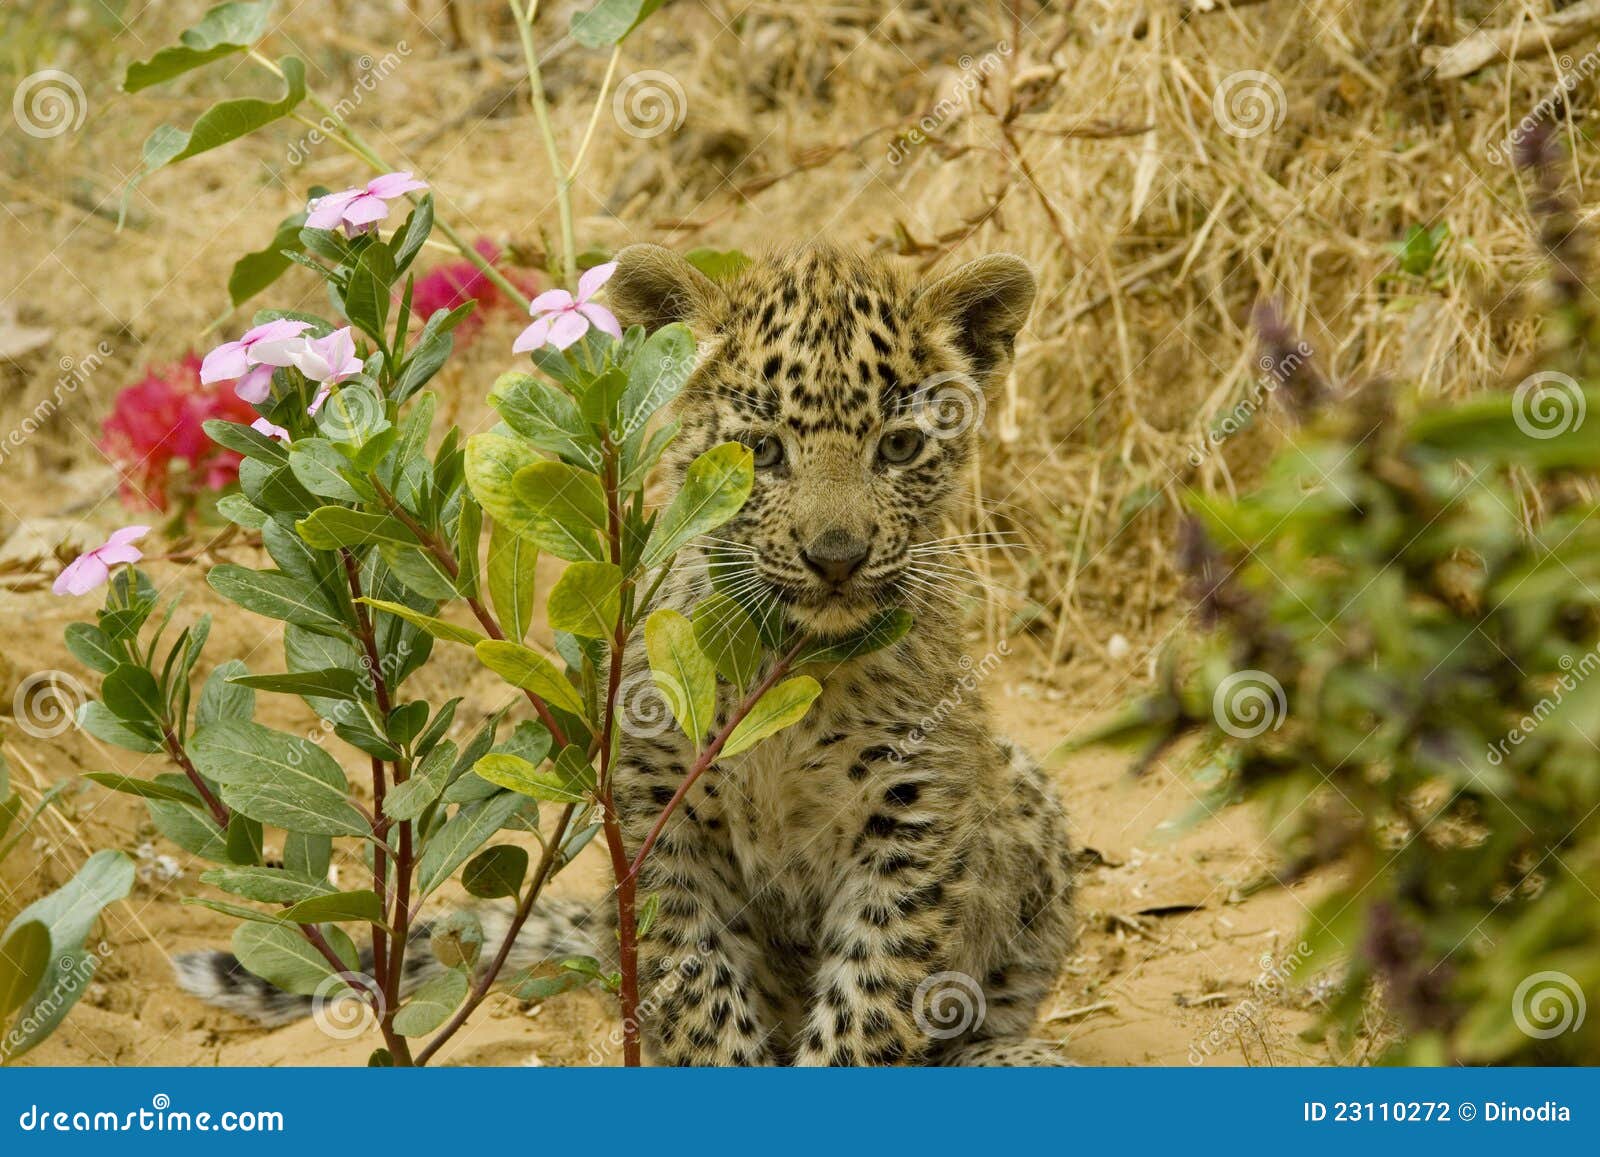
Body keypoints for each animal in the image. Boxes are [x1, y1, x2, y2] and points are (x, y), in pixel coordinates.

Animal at [175, 243, 1076, 1066]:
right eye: (763, 450)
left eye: (898, 447)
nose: (837, 556)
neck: (792, 668)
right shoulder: (659, 814)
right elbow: (701, 993)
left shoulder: (913, 814)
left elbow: (872, 999)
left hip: (1026, 804)